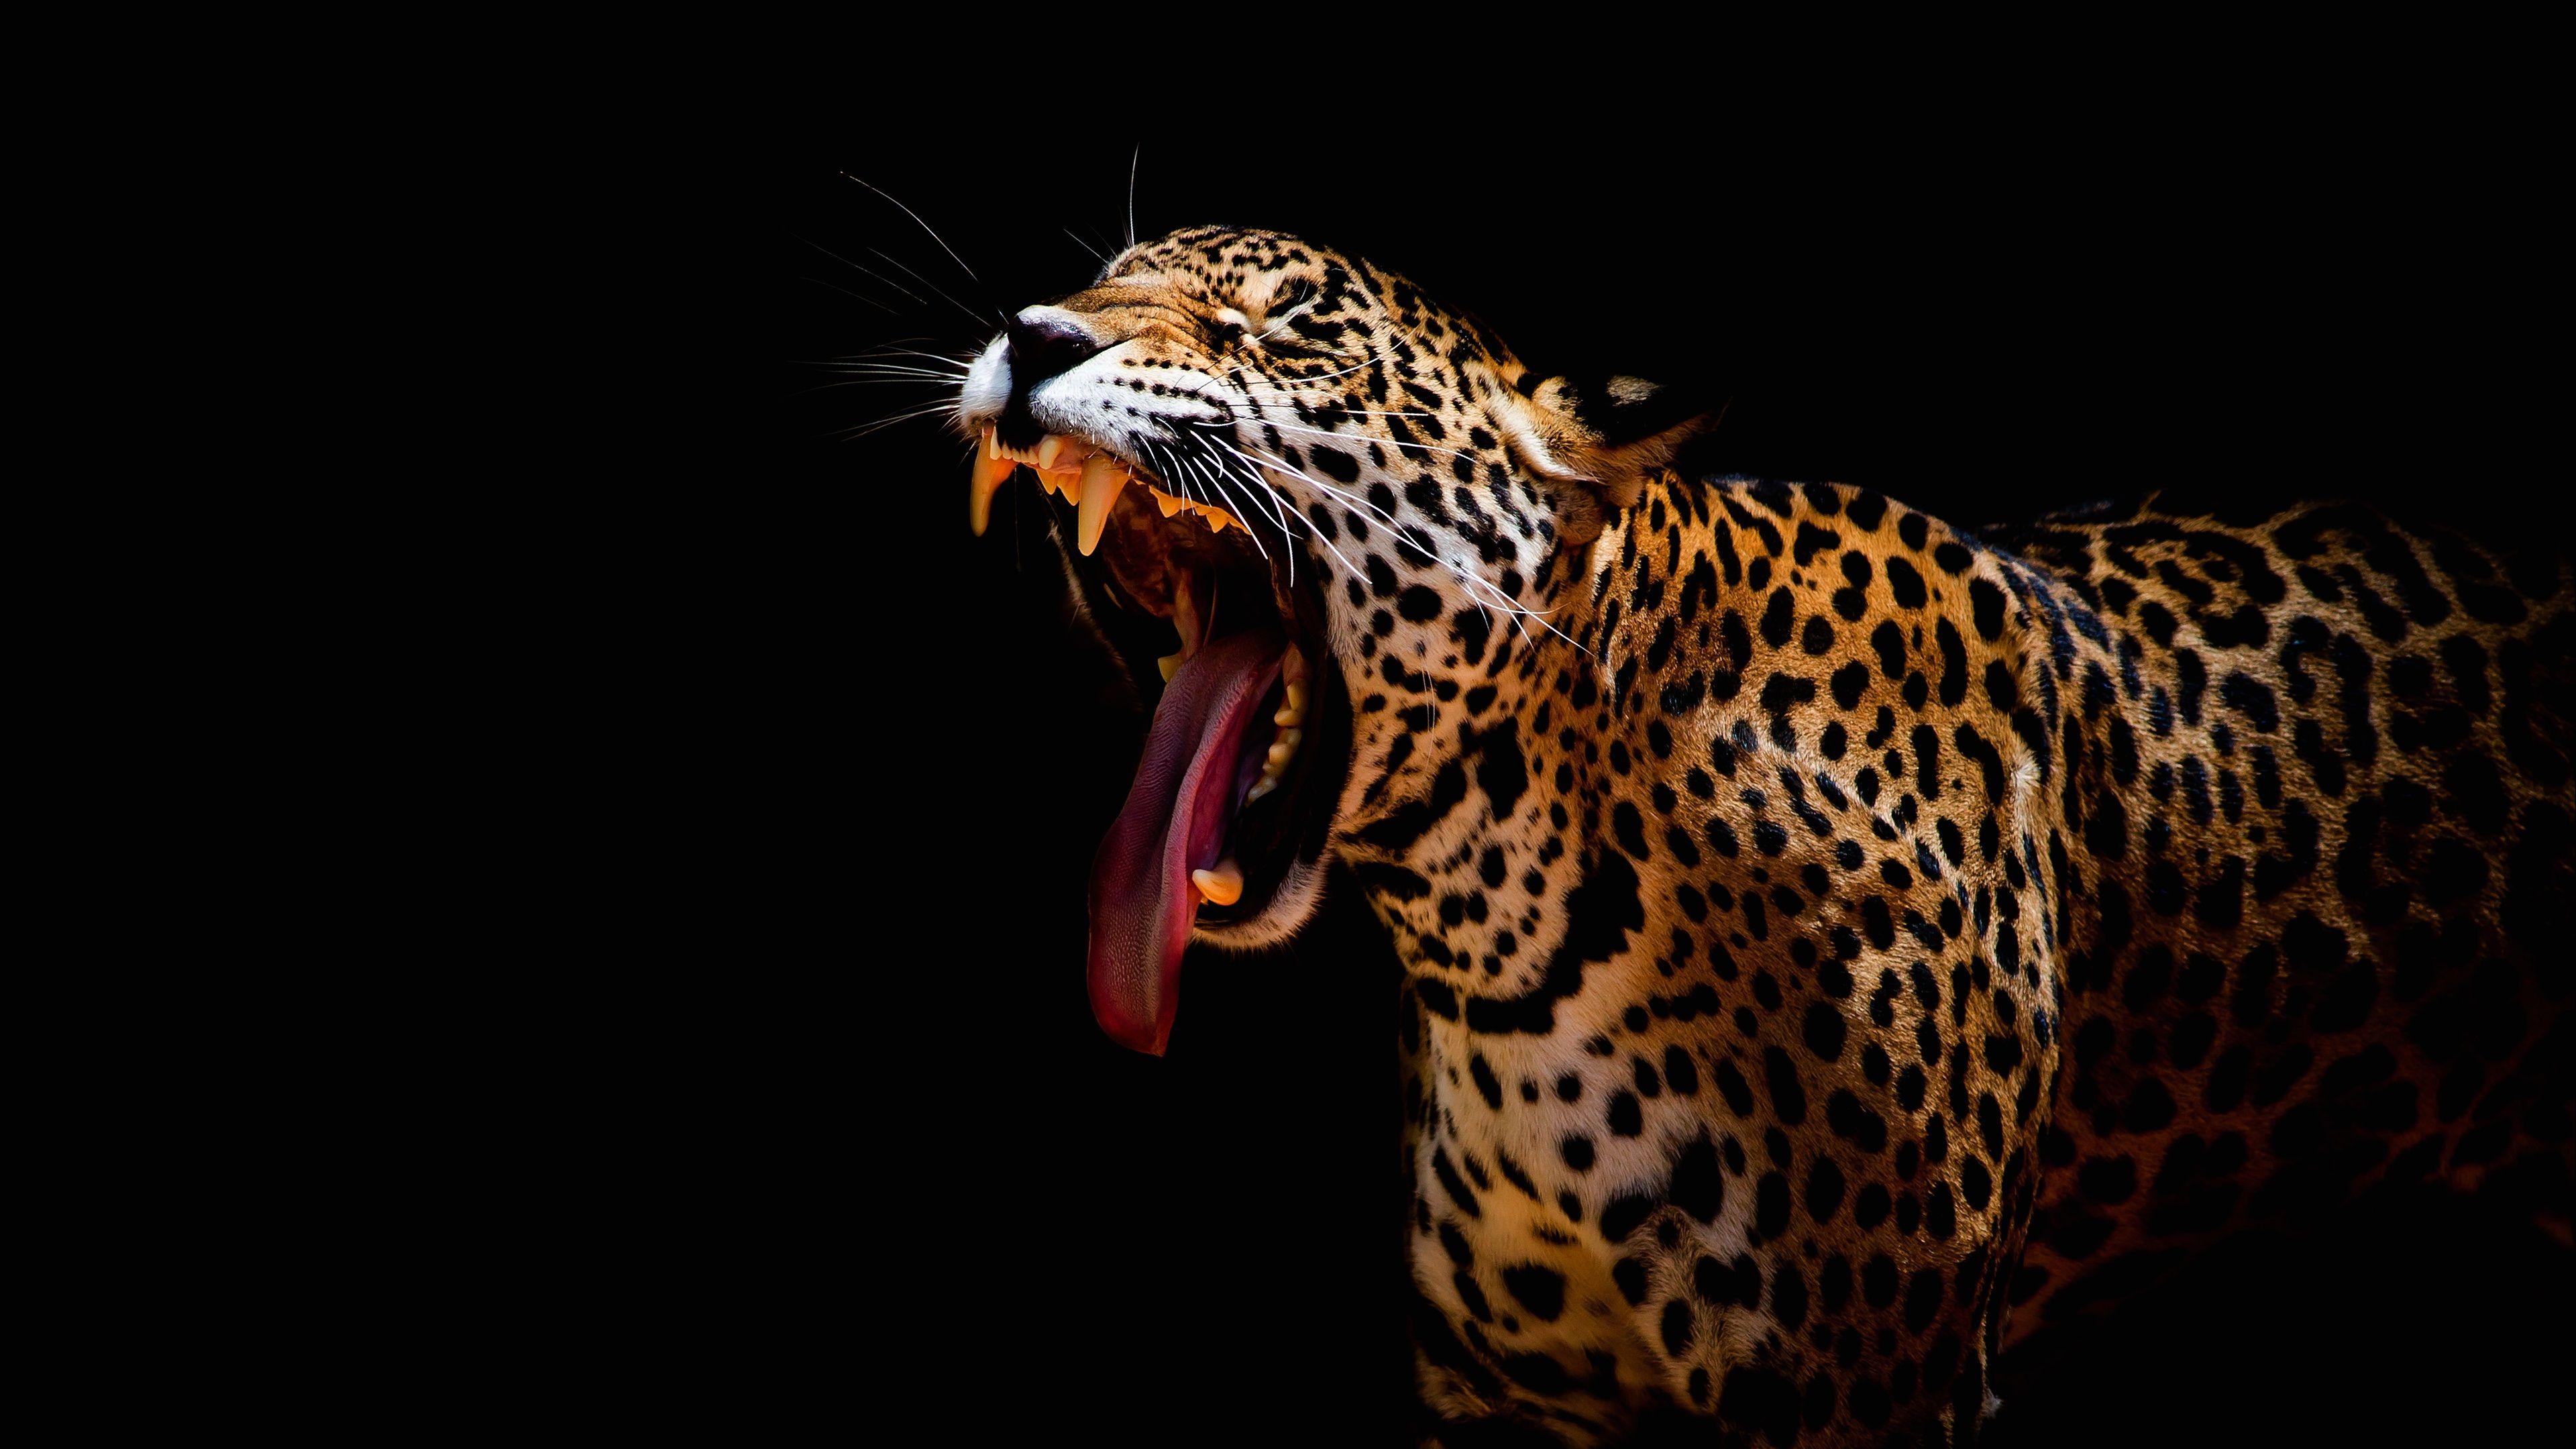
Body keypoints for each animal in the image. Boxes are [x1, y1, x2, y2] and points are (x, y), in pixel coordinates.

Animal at [946, 223, 2574, 1446]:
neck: (1508, 933)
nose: (1034, 336)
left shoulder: (1872, 1383)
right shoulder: (1510, 1394)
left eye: (1287, 331)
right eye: (1102, 275)